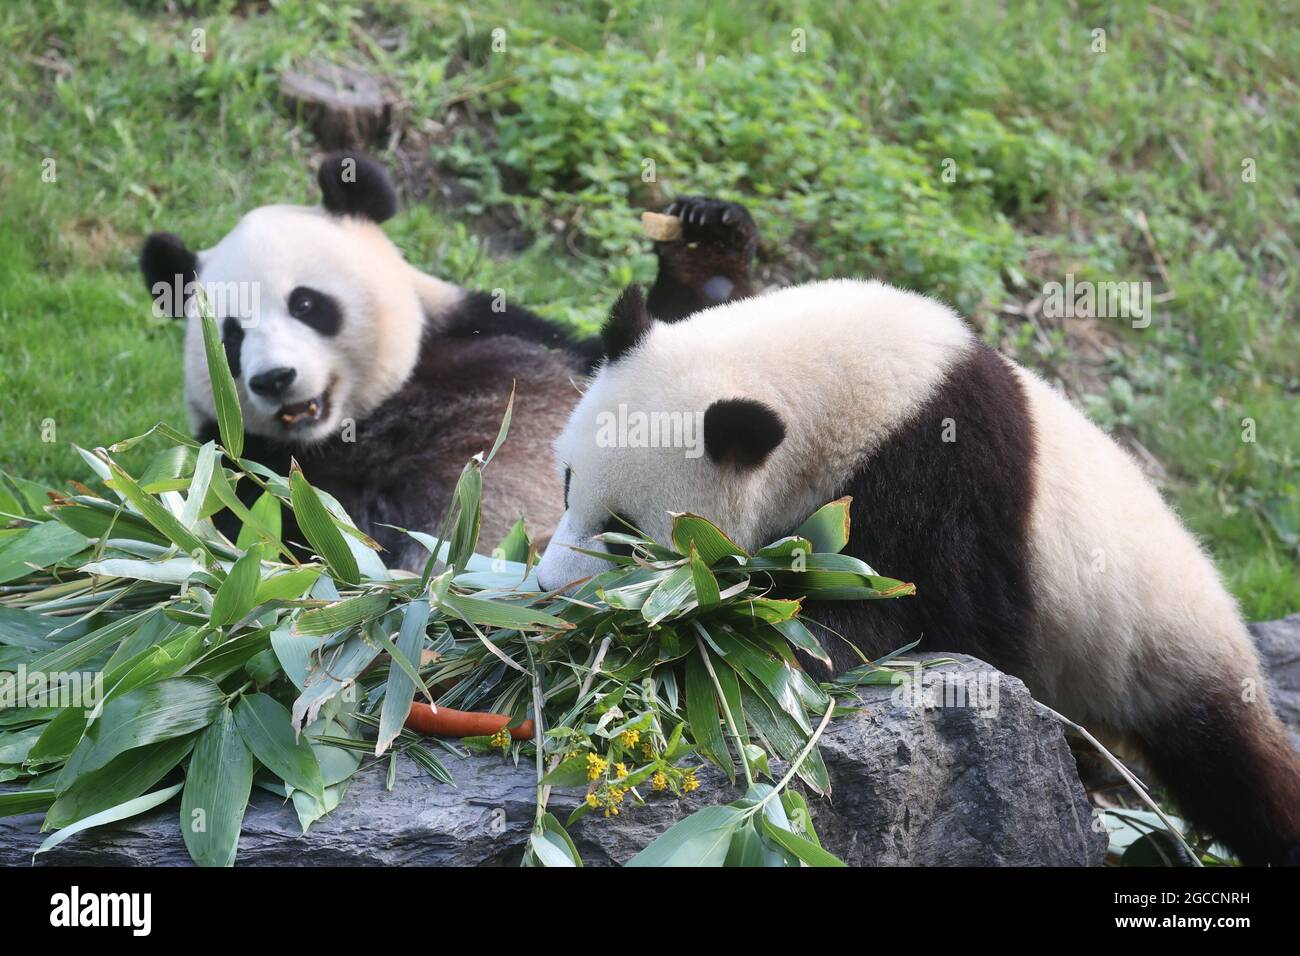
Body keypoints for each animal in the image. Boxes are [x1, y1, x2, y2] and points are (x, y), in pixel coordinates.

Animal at [139, 152, 757, 570]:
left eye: (307, 304)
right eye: (231, 336)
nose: (274, 379)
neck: (368, 412)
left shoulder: (505, 337)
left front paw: (706, 246)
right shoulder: (240, 465)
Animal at [535, 278, 1300, 866]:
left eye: (624, 535)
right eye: (567, 485)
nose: (547, 591)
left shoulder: (946, 472)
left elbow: (935, 615)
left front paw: (765, 643)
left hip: (1158, 640)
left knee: (1233, 769)